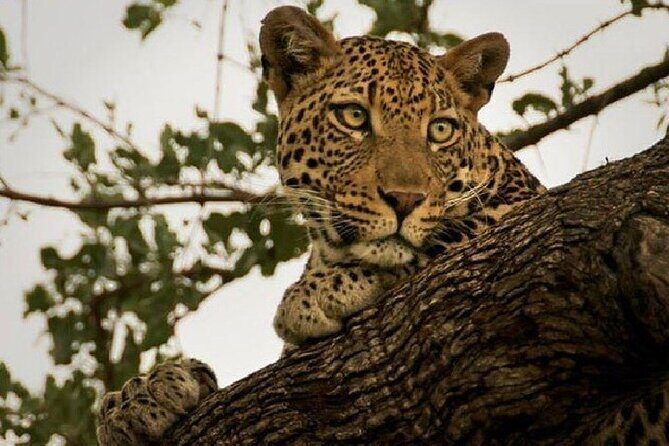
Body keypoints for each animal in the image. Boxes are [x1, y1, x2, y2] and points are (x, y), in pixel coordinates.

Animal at [96, 6, 545, 444]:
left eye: (440, 129)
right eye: (354, 117)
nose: (405, 199)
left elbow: (455, 239)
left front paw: (315, 295)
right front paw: (143, 396)